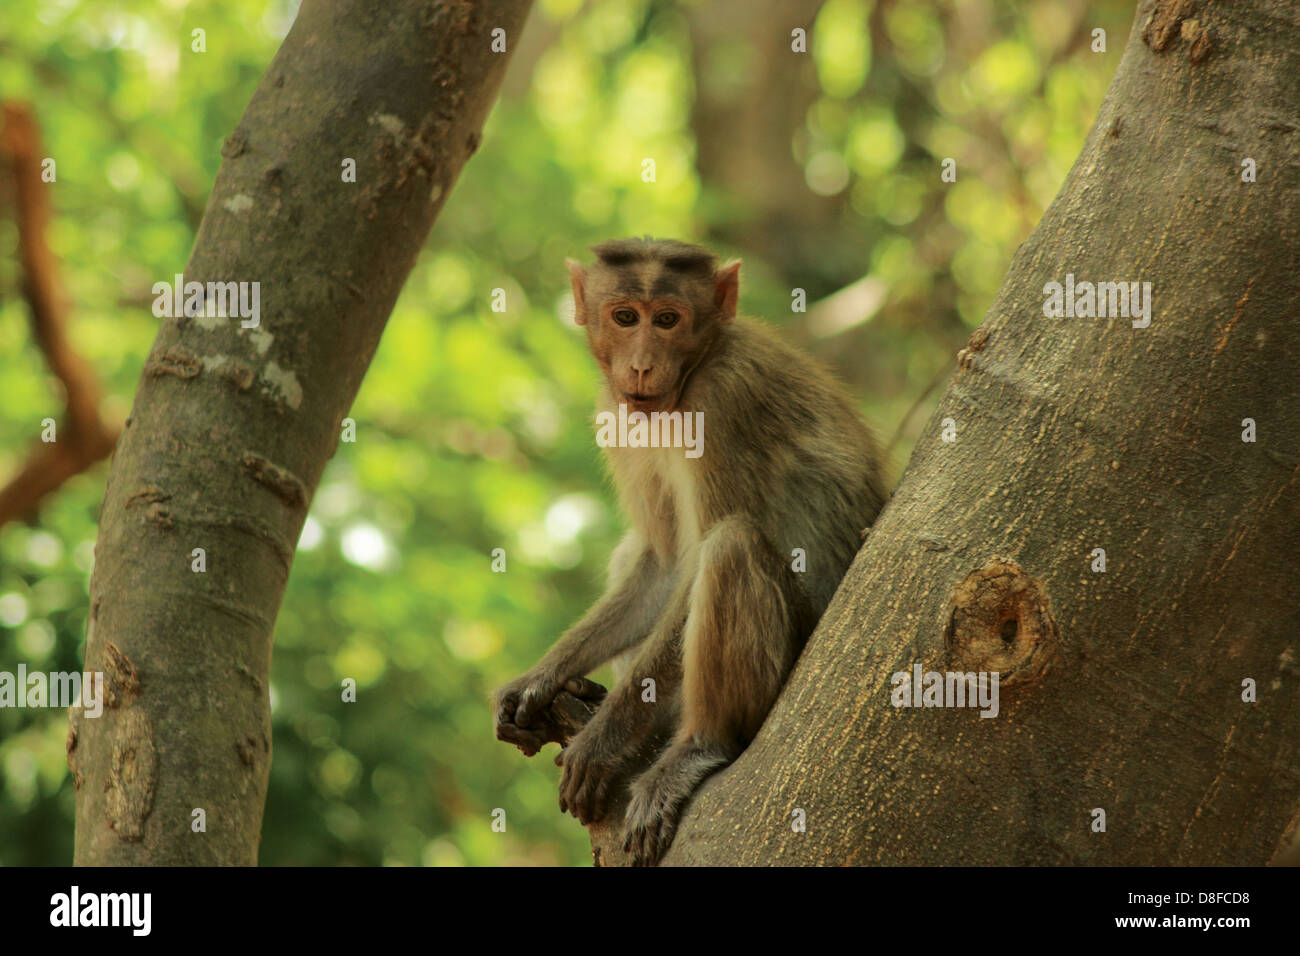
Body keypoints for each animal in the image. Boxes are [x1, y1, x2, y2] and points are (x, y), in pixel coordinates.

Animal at [494, 237, 887, 865]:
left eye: (668, 320)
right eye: (624, 317)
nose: (641, 364)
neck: (691, 375)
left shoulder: (725, 399)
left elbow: (698, 560)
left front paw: (601, 741)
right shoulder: (616, 410)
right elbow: (661, 561)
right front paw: (541, 679)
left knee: (729, 548)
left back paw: (696, 746)